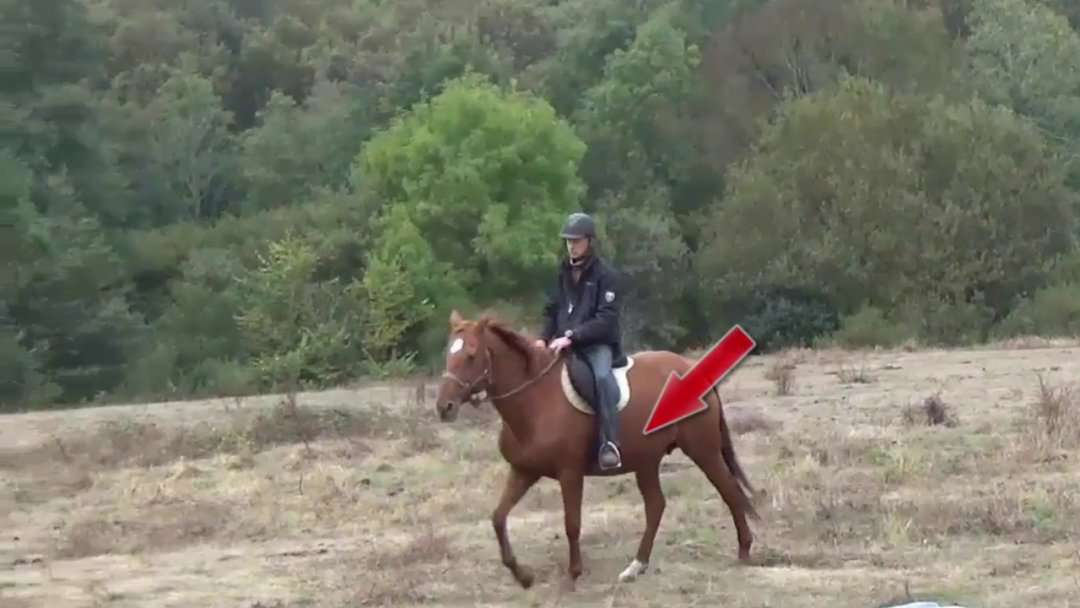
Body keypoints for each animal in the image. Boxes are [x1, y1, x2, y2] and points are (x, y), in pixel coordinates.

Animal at [433, 309, 763, 590]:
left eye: (471, 355)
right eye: (447, 355)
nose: (444, 407)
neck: (536, 401)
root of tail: (692, 369)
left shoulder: (570, 473)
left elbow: (572, 523)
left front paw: (573, 574)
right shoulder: (524, 471)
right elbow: (498, 518)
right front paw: (523, 576)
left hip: (703, 451)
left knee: (729, 491)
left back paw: (744, 551)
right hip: (647, 461)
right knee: (656, 506)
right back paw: (636, 567)